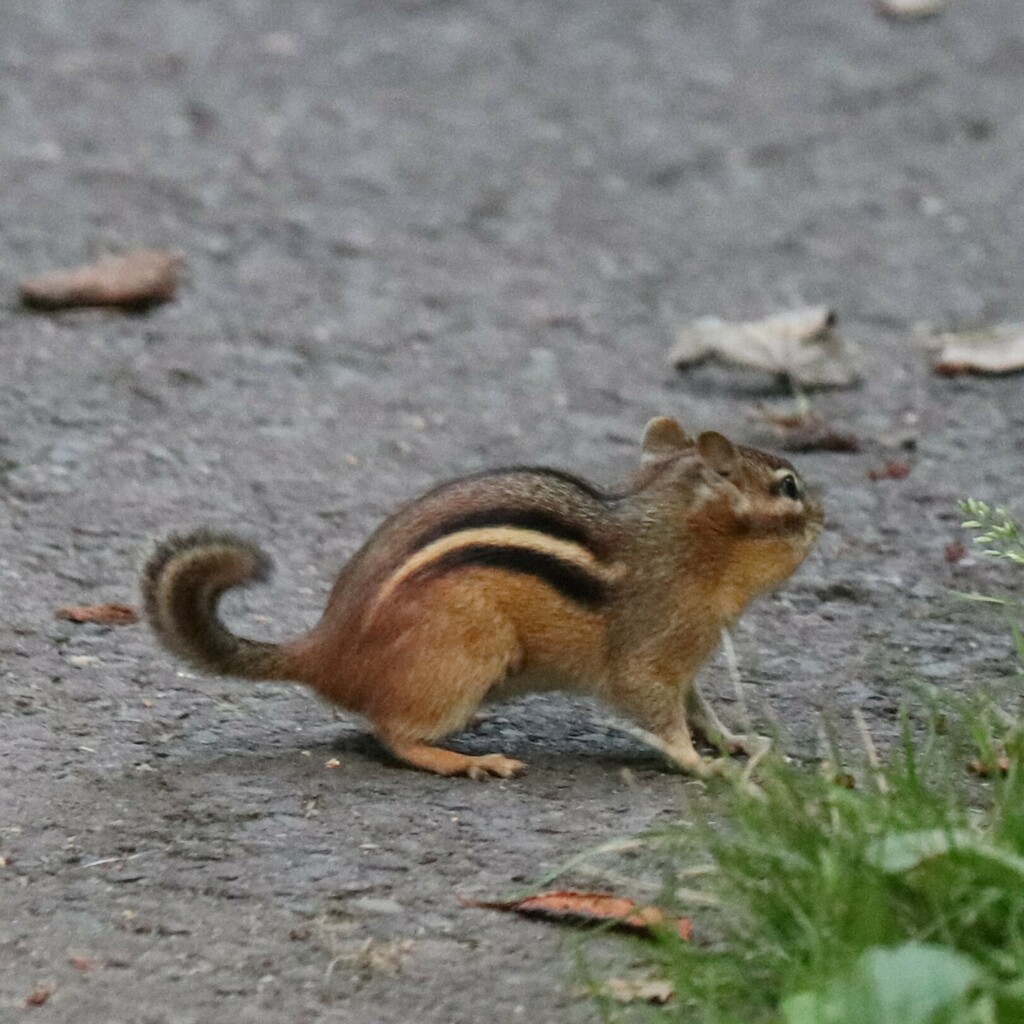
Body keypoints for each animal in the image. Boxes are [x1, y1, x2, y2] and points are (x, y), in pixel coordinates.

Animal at [142, 418, 823, 780]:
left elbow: (700, 708)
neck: (682, 543)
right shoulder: (648, 653)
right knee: (393, 735)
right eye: (788, 487)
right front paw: (706, 768)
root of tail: (326, 651)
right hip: (464, 653)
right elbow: (662, 717)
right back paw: (466, 760)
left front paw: (737, 741)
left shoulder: (684, 660)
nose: (824, 516)